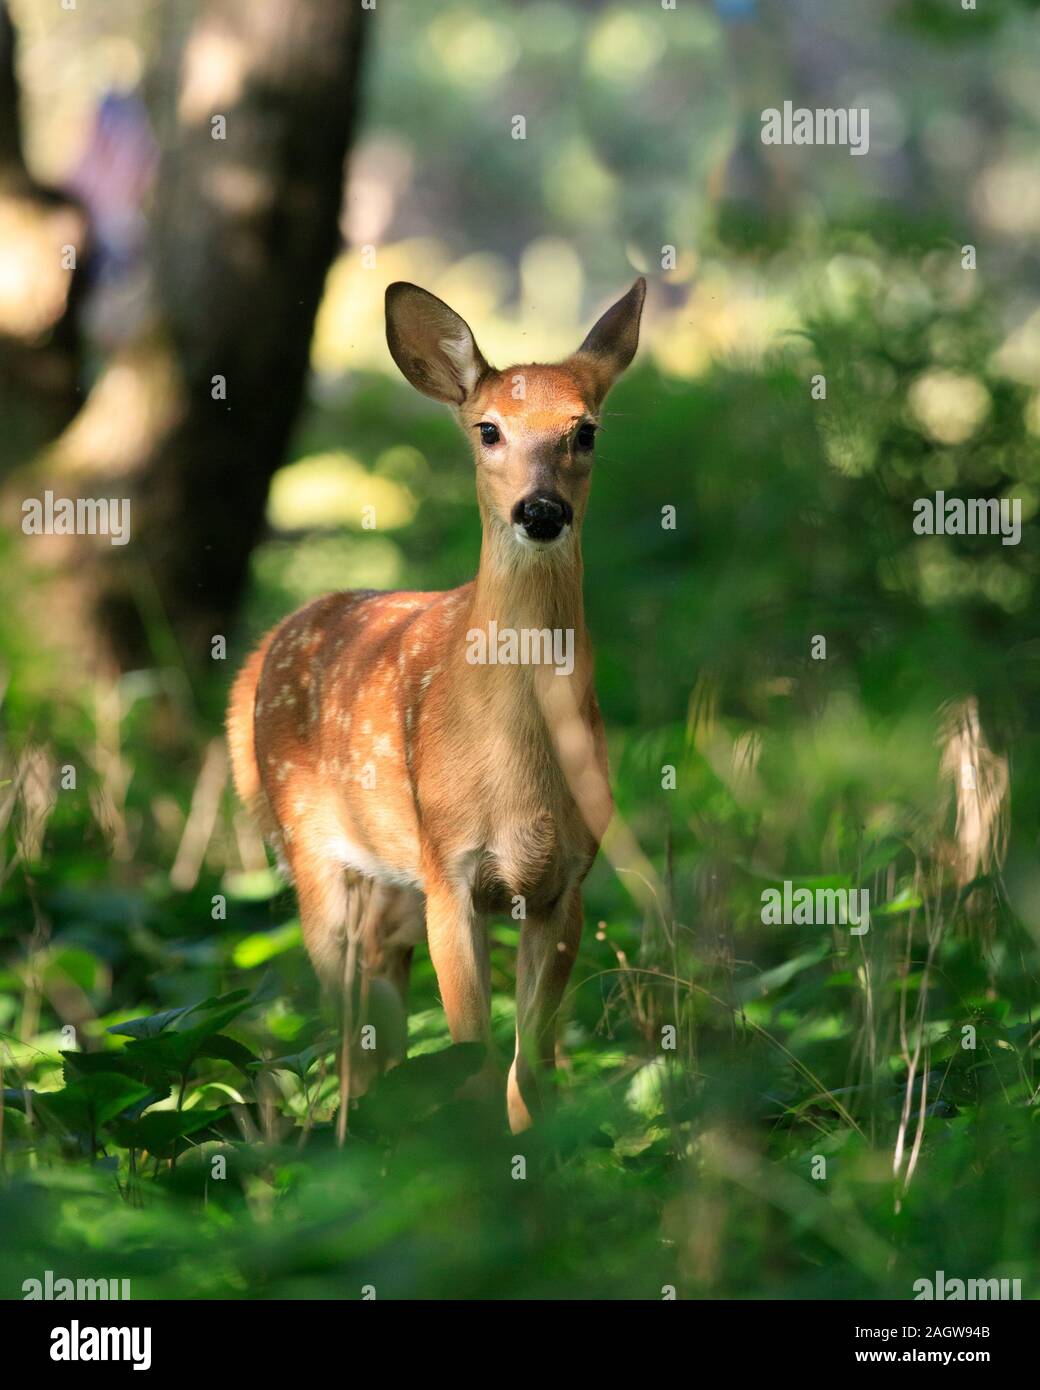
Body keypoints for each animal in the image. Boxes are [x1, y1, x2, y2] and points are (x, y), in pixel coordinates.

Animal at [226, 276, 645, 1133]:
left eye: (584, 430)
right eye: (488, 430)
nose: (540, 511)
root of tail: (259, 655)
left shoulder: (567, 881)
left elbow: (530, 1070)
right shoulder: (449, 868)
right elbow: (477, 1062)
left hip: (390, 886)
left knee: (380, 1034)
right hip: (312, 852)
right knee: (348, 1040)